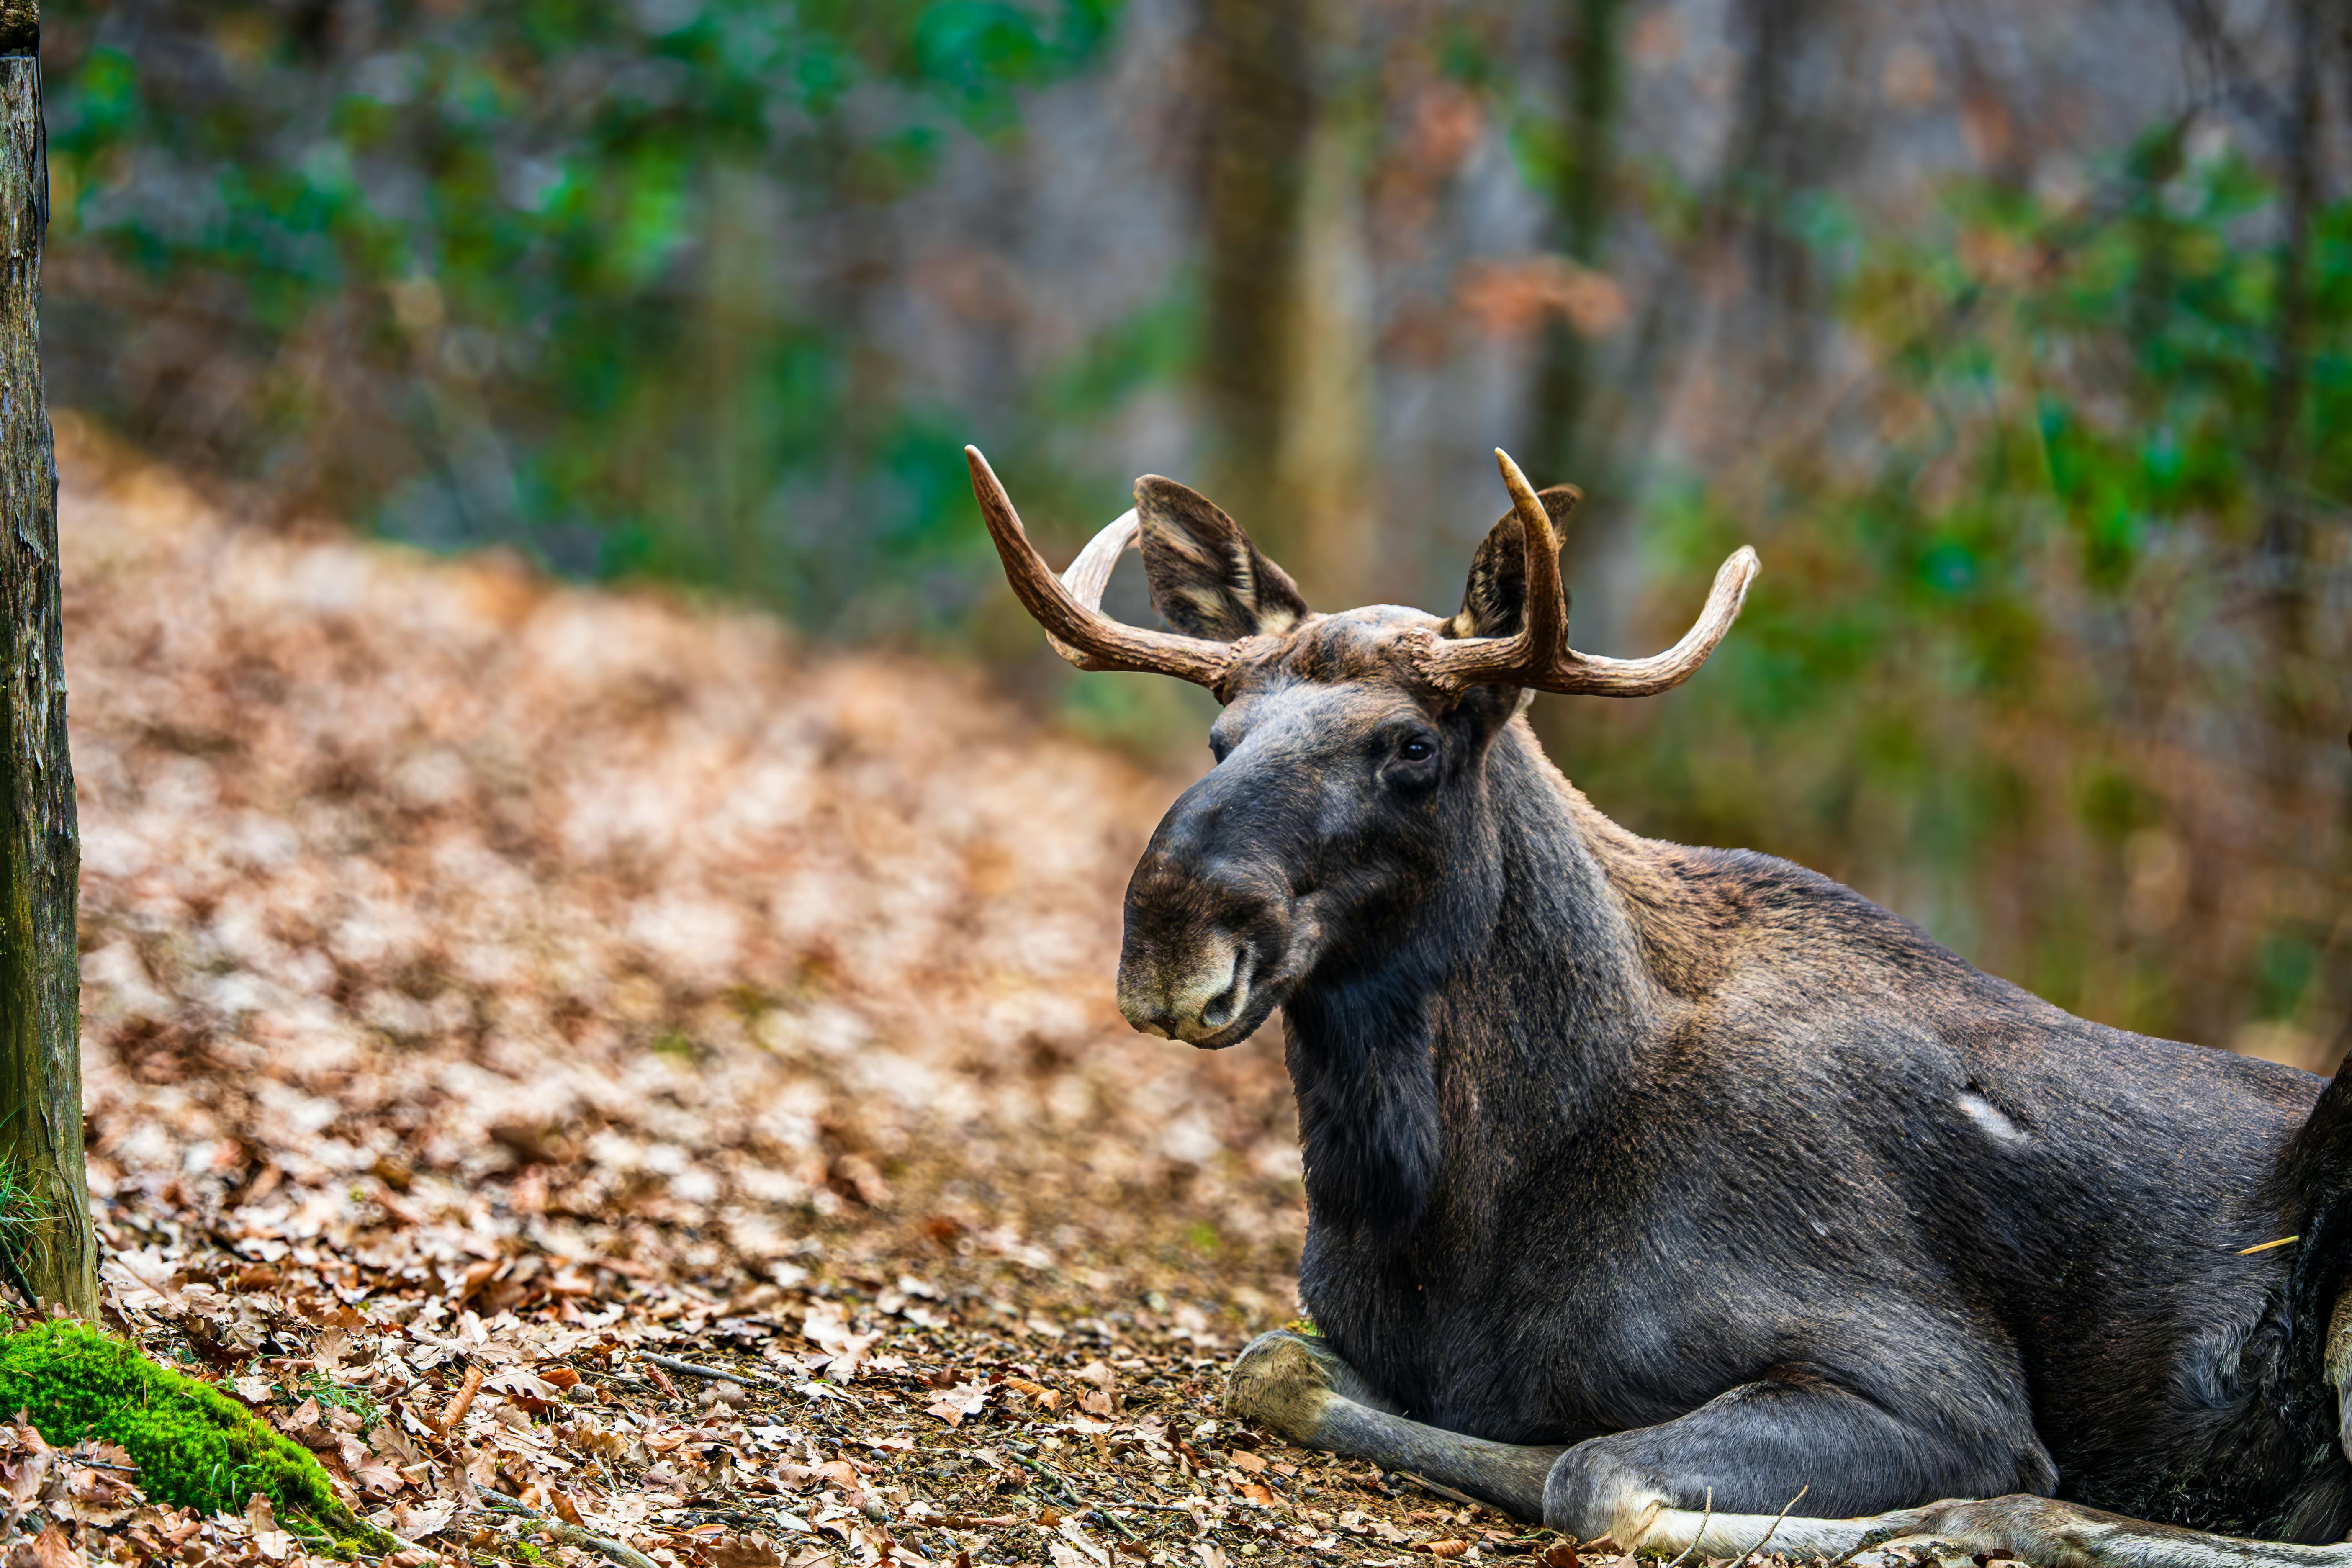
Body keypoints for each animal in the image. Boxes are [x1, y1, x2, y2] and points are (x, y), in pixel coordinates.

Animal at [965, 443, 2352, 1567]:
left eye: (1413, 745)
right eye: (1221, 733)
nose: (1168, 932)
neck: (1455, 1197)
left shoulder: (1936, 1386)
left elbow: (1595, 1476)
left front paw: (1948, 1521)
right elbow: (1273, 1369)